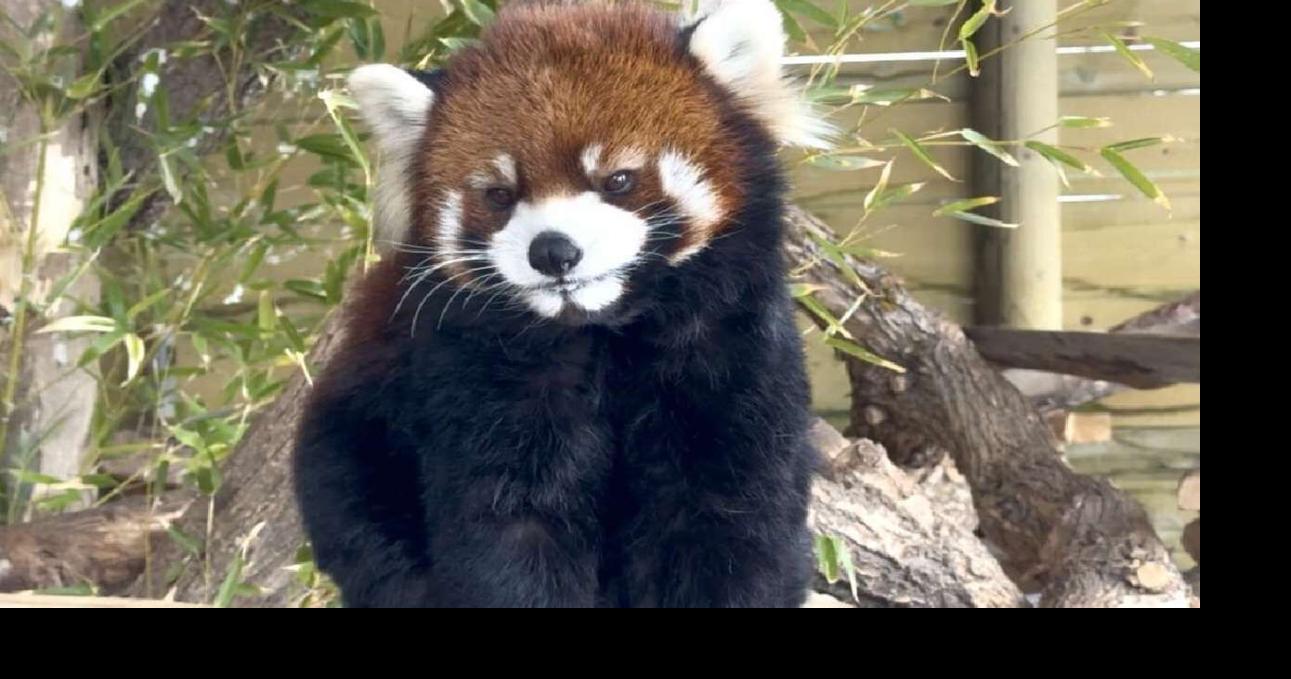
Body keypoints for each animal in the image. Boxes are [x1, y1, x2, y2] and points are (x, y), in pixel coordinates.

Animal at [292, 0, 833, 607]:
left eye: (617, 179)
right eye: (500, 195)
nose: (552, 251)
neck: (603, 329)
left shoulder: (730, 354)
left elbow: (730, 518)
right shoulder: (481, 378)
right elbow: (512, 527)